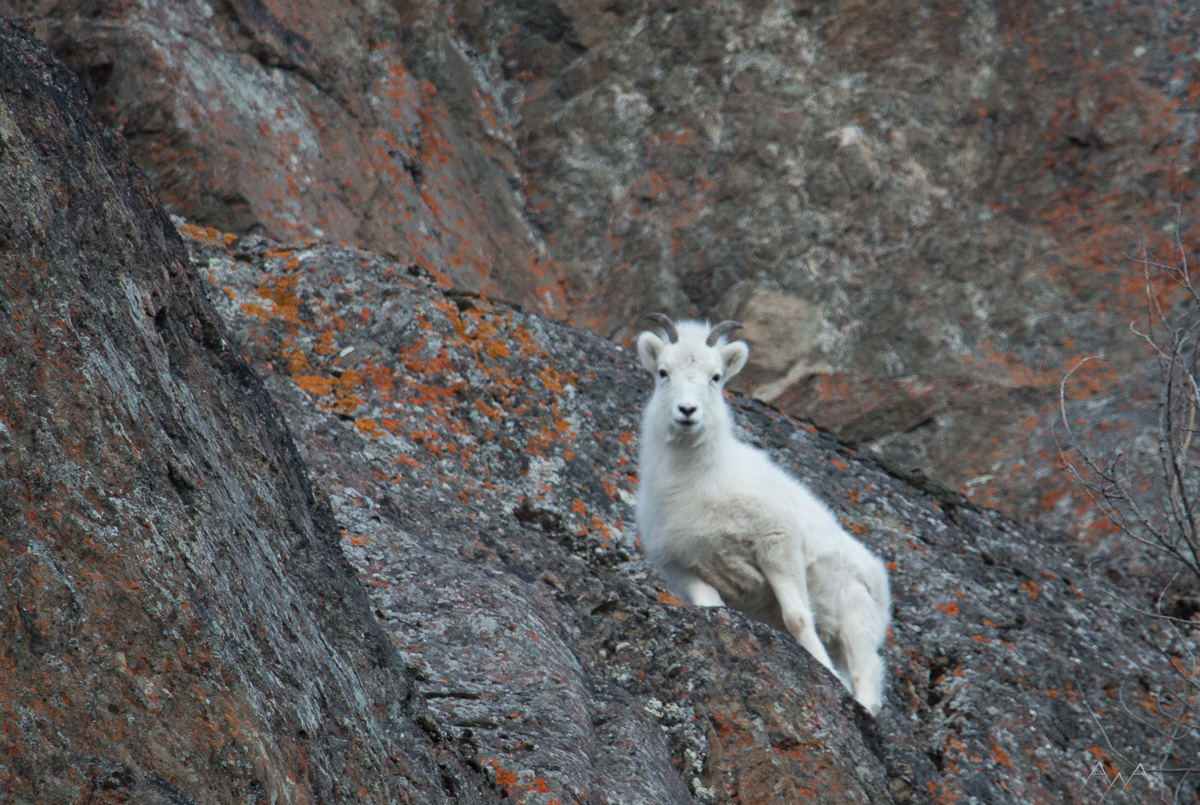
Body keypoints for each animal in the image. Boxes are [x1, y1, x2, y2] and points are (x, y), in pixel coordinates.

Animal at [635, 314, 891, 715]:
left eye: (716, 376)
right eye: (663, 372)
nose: (687, 412)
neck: (702, 484)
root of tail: (879, 576)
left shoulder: (777, 547)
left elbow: (798, 620)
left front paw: (825, 674)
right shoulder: (684, 570)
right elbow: (713, 608)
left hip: (856, 619)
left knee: (868, 679)